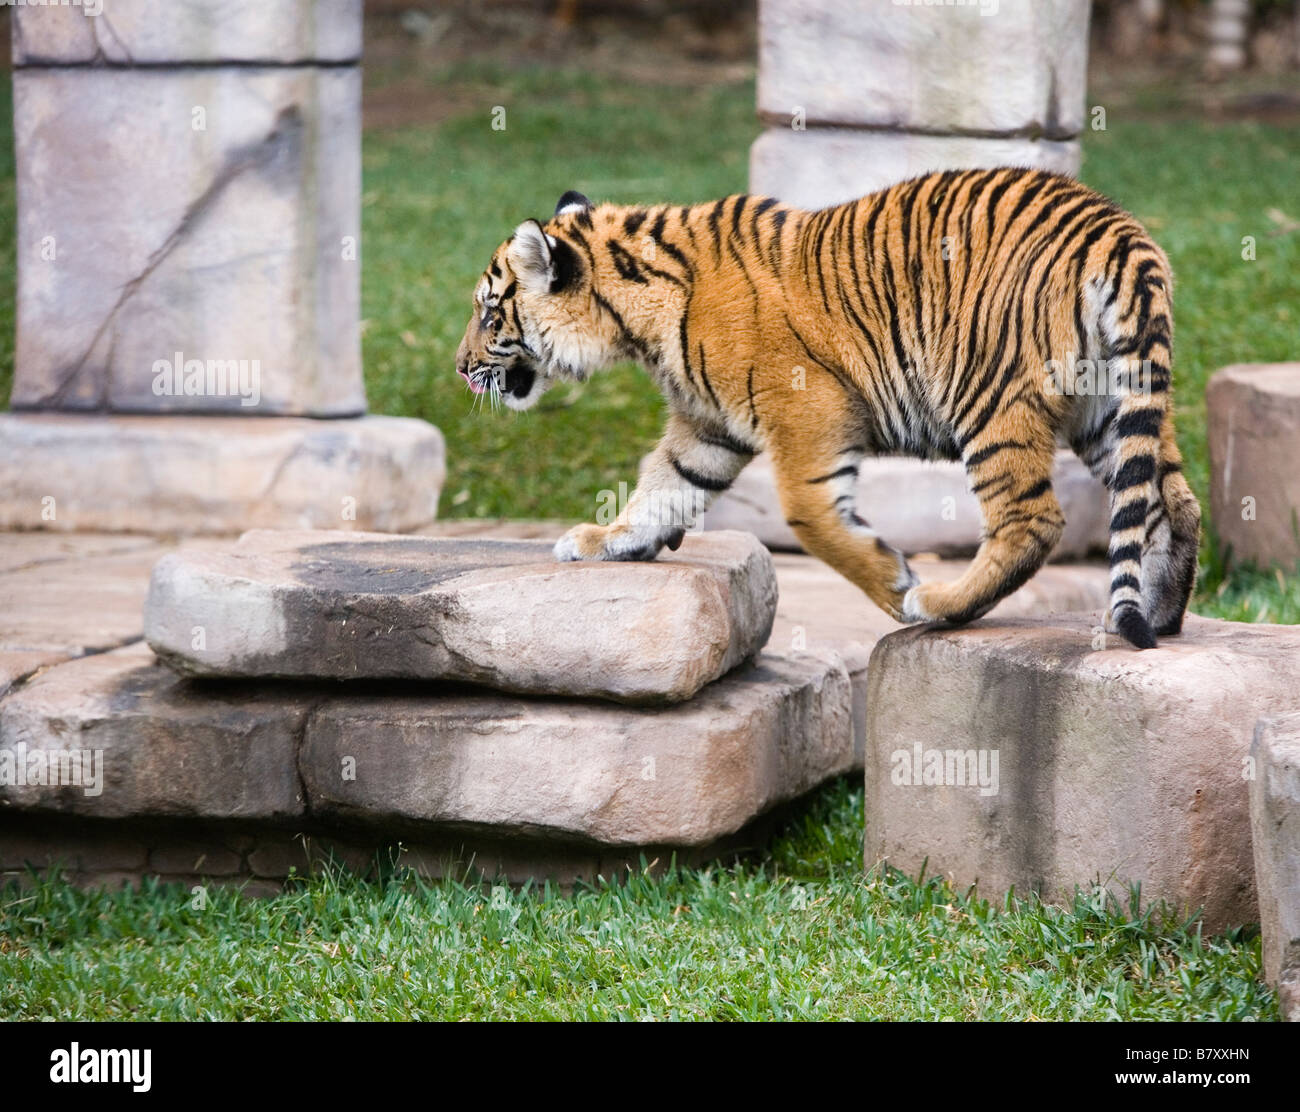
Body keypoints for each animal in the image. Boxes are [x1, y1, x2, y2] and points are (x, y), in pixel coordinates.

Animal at [454, 168, 1202, 649]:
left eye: (490, 313)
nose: (461, 369)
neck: (635, 318)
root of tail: (1115, 231)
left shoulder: (806, 410)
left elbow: (811, 517)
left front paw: (894, 585)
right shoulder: (706, 428)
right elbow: (660, 490)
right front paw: (605, 540)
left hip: (987, 396)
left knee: (1032, 520)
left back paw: (939, 605)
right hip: (1110, 410)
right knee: (1172, 501)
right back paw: (1157, 619)